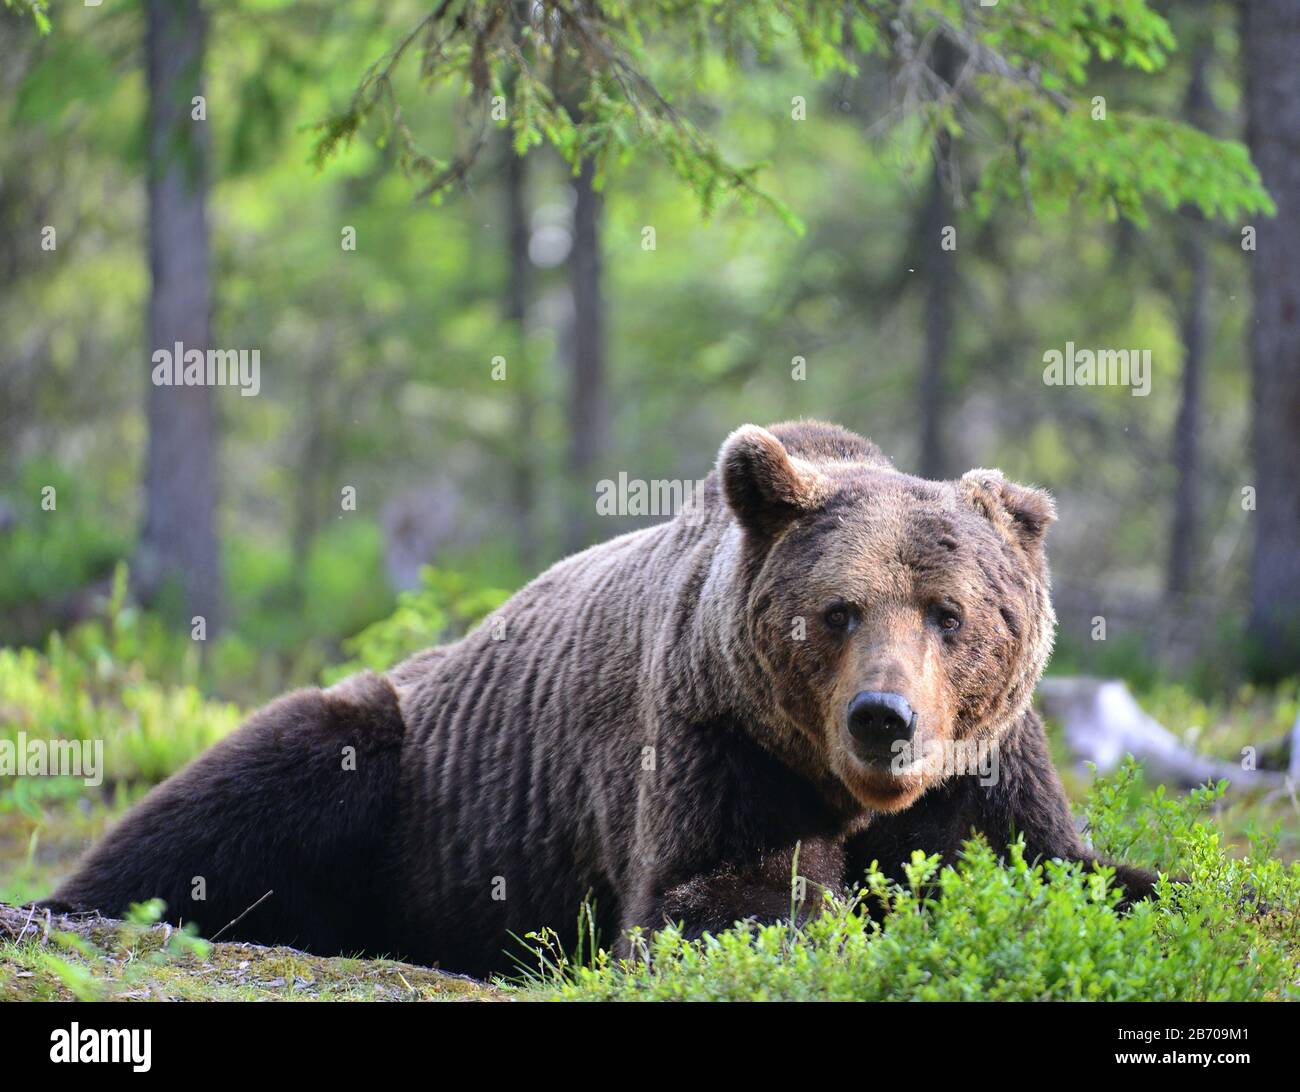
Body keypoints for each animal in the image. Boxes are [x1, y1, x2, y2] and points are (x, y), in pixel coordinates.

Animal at [49, 421, 1158, 976]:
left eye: (950, 614)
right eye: (838, 611)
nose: (884, 720)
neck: (846, 791)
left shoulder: (983, 764)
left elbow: (1057, 865)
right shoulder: (716, 739)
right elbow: (719, 902)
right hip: (401, 761)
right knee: (247, 787)